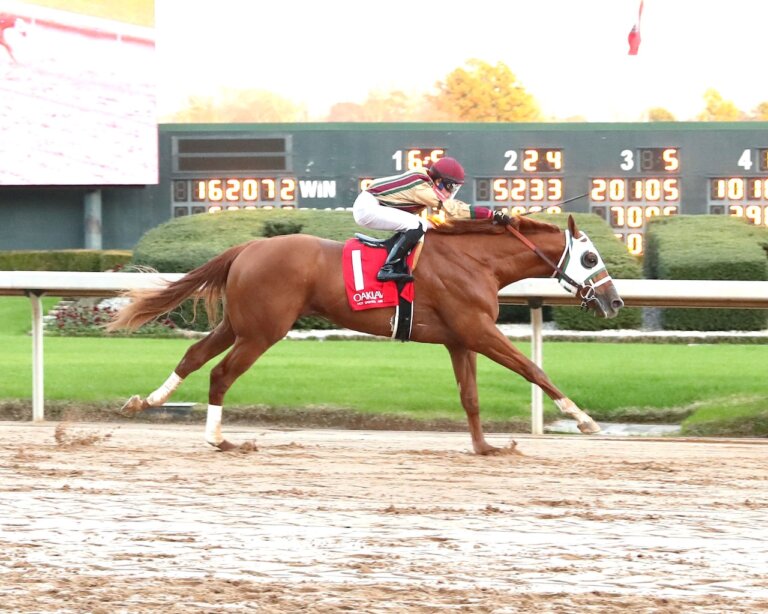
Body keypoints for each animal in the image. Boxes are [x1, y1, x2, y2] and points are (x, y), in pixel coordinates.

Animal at [108, 214, 624, 454]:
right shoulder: (478, 331)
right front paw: (584, 419)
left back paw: (144, 402)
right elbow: (533, 369)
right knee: (220, 373)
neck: (476, 261)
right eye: (591, 257)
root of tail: (248, 246)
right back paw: (221, 440)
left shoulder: (460, 339)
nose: (615, 301)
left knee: (194, 356)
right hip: (263, 331)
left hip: (240, 323)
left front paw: (485, 447)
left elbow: (471, 398)